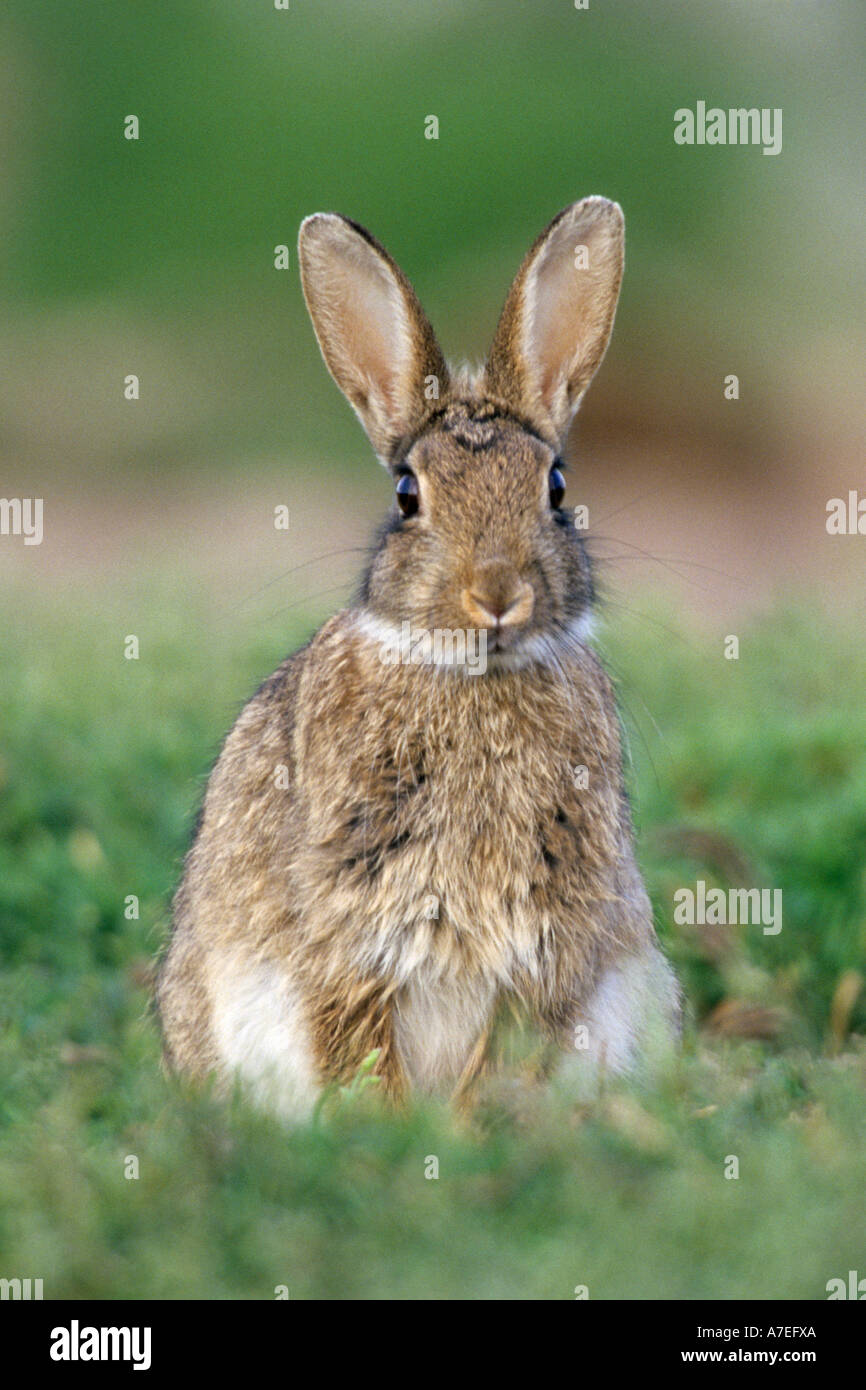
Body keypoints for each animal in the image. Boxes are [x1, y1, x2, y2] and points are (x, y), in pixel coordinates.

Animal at [156, 196, 681, 1120]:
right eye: (407, 494)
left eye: (556, 488)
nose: (497, 592)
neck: (473, 675)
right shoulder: (346, 926)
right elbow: (353, 1032)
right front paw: (392, 1125)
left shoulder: (550, 934)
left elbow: (511, 1040)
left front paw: (465, 1127)